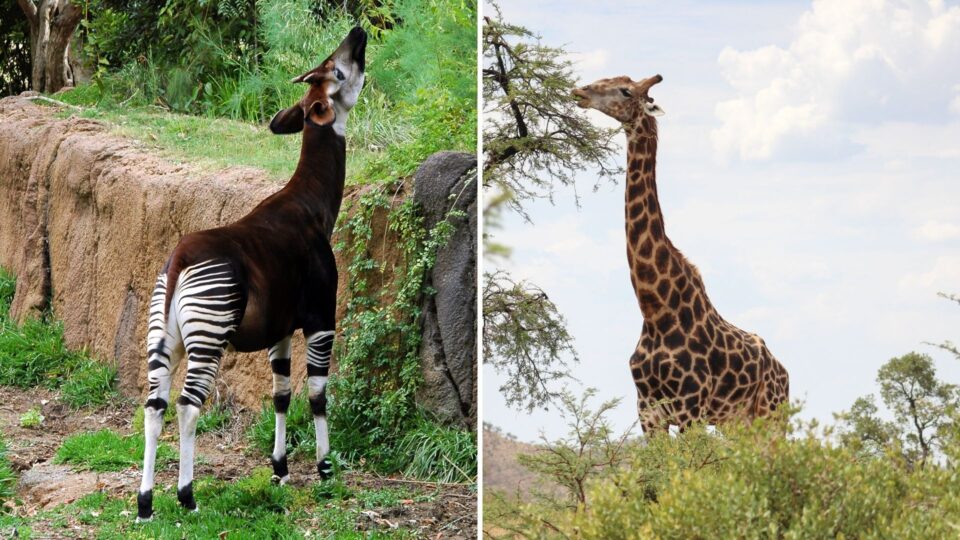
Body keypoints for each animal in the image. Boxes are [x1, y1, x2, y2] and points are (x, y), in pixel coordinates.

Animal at [572, 74, 789, 434]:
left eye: (626, 91)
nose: (580, 92)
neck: (655, 310)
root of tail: (784, 372)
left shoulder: (691, 408)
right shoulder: (648, 411)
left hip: (770, 417)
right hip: (735, 422)